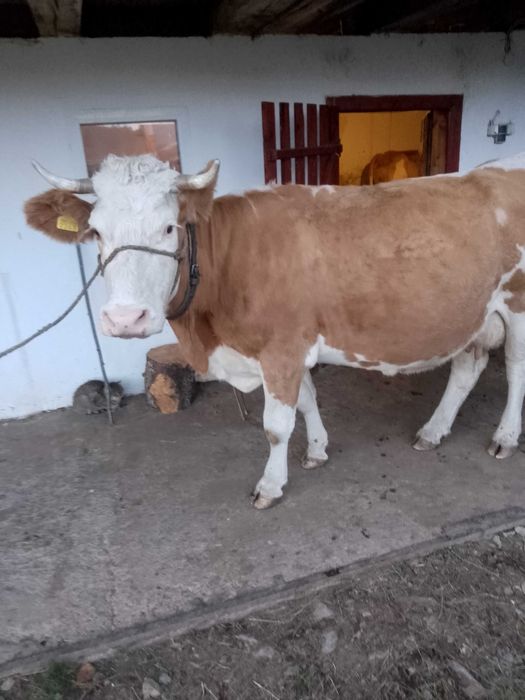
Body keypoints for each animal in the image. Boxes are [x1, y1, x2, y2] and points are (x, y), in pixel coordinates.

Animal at [24, 153, 525, 509]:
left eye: (169, 228)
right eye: (95, 232)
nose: (126, 319)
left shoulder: (281, 349)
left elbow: (276, 426)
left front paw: (270, 484)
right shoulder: (288, 347)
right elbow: (307, 401)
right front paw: (318, 450)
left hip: (518, 306)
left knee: (515, 372)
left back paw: (504, 438)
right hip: (475, 314)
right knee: (467, 368)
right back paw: (434, 430)